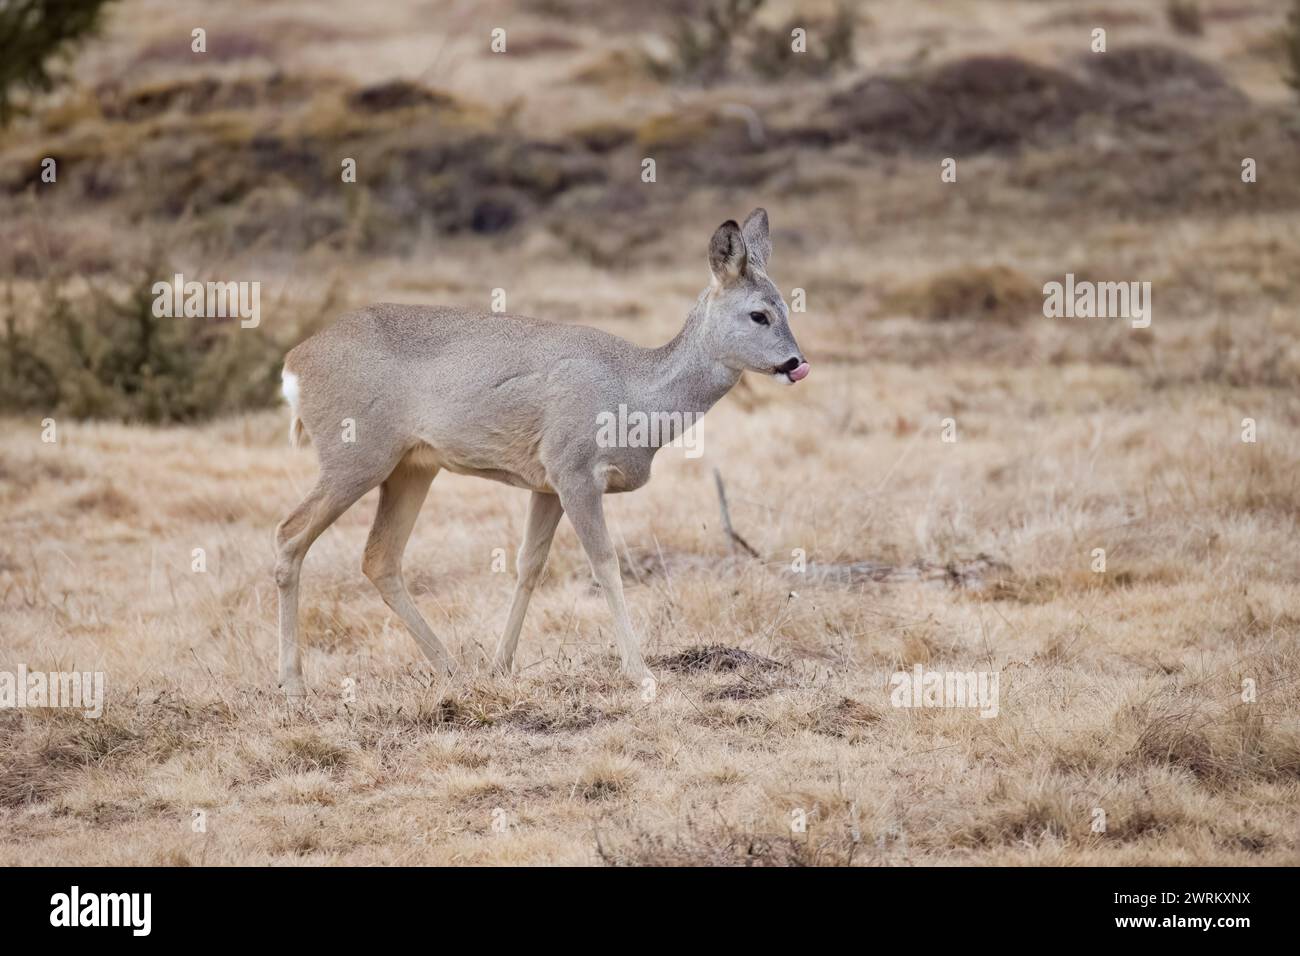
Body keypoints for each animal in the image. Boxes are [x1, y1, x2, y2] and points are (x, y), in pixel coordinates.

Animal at [274, 209, 809, 697]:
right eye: (758, 314)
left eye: (787, 307)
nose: (796, 363)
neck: (636, 396)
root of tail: (293, 364)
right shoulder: (575, 468)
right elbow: (606, 564)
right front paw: (641, 674)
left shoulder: (546, 482)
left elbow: (529, 565)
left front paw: (500, 665)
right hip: (356, 453)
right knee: (289, 534)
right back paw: (293, 685)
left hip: (411, 466)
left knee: (379, 557)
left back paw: (452, 670)